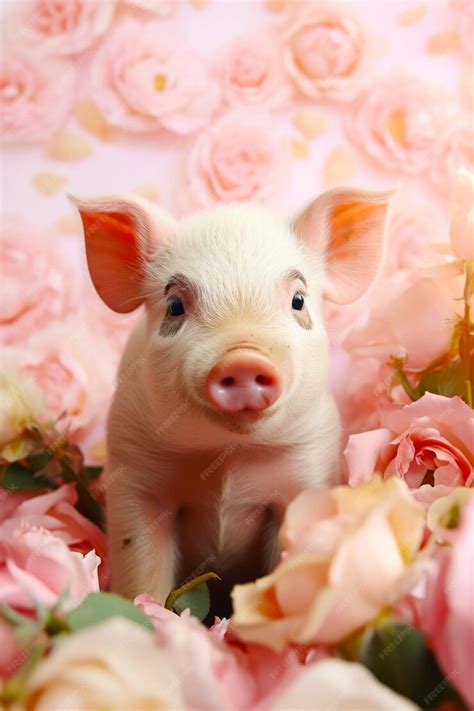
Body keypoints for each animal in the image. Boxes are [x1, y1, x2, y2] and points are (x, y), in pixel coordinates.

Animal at [70, 188, 391, 614]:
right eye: (175, 306)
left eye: (298, 300)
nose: (243, 358)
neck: (229, 459)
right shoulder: (135, 477)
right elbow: (142, 564)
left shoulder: (308, 470)